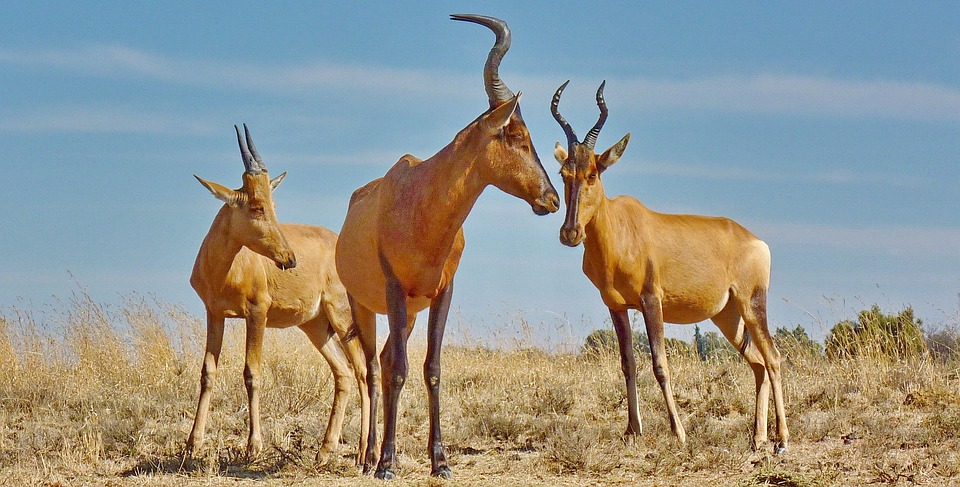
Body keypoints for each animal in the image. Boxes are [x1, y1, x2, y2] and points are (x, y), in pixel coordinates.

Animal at [187, 124, 371, 464]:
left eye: (274, 205)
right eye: (256, 206)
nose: (289, 259)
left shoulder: (257, 313)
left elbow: (251, 372)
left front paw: (253, 446)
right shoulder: (214, 314)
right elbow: (207, 371)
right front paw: (193, 443)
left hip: (341, 317)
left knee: (363, 370)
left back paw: (366, 452)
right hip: (315, 326)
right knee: (343, 373)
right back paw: (325, 450)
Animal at [335, 14, 559, 479]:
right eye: (517, 135)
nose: (551, 199)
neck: (420, 197)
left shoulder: (443, 294)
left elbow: (431, 369)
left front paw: (440, 461)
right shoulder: (393, 290)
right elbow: (399, 371)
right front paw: (387, 464)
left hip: (410, 314)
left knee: (386, 359)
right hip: (363, 304)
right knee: (372, 368)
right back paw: (368, 457)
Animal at [551, 81, 789, 453]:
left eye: (594, 173)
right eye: (564, 173)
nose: (570, 233)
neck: (621, 227)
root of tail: (755, 240)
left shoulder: (652, 302)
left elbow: (660, 364)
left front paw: (679, 432)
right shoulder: (616, 306)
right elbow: (628, 364)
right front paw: (632, 430)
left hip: (752, 303)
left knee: (774, 357)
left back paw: (782, 441)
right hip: (728, 316)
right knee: (758, 362)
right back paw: (758, 437)